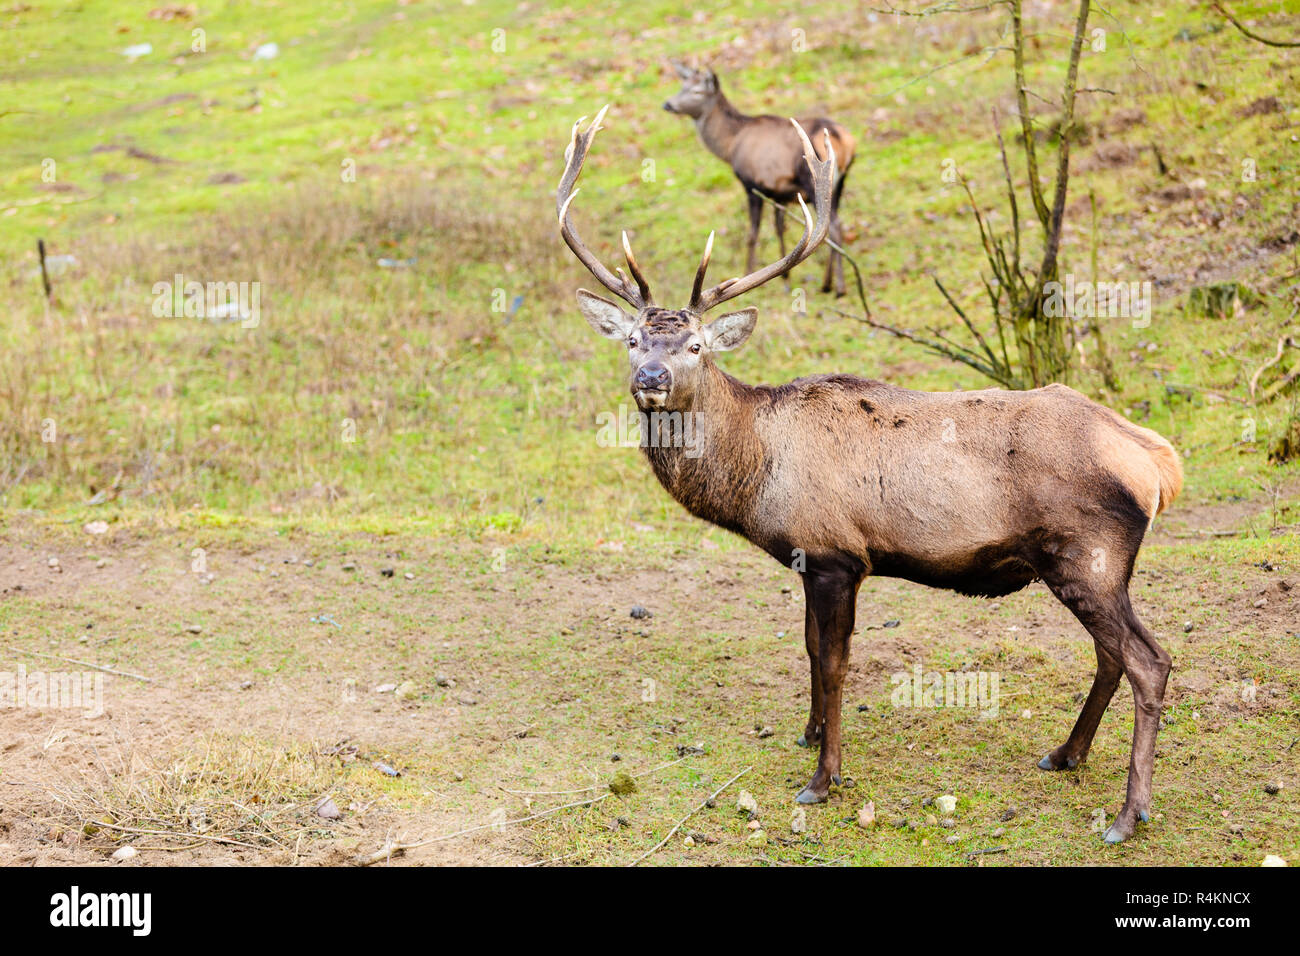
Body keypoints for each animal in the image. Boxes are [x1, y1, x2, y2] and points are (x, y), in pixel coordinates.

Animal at [557, 106, 1183, 844]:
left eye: (696, 346)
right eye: (632, 340)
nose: (651, 379)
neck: (757, 472)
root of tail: (1156, 460)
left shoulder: (837, 554)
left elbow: (833, 664)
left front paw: (822, 780)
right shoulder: (808, 555)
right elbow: (807, 649)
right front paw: (806, 735)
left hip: (1087, 554)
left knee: (1149, 661)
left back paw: (1128, 813)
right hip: (1095, 566)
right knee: (1115, 656)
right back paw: (1064, 754)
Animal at [663, 63, 856, 297]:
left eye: (697, 91)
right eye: (683, 86)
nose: (668, 104)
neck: (731, 145)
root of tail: (843, 140)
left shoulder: (752, 184)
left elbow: (752, 233)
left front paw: (748, 272)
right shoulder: (780, 191)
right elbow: (780, 228)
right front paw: (786, 278)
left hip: (812, 181)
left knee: (834, 226)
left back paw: (838, 287)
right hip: (840, 183)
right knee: (835, 225)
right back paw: (828, 282)